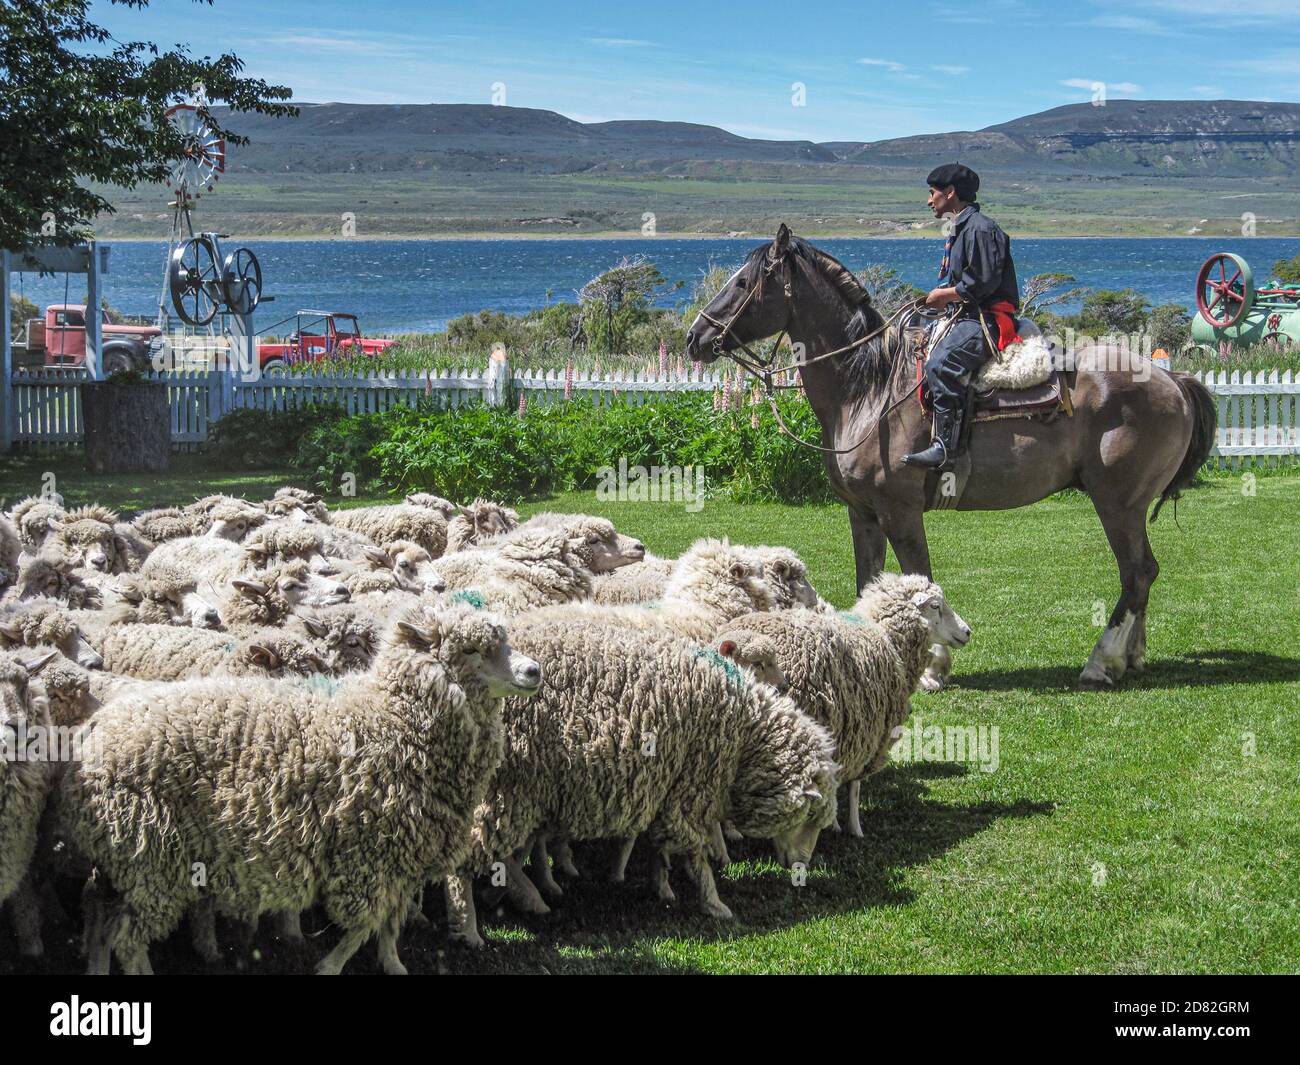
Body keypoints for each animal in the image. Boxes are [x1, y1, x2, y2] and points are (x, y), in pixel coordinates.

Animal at [60, 601, 542, 975]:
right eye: (472, 650)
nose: (533, 671)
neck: (394, 723)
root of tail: (94, 730)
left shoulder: (401, 857)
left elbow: (389, 922)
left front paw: (392, 963)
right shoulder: (368, 854)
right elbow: (364, 924)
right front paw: (329, 965)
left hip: (122, 861)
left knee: (99, 918)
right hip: (150, 858)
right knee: (128, 937)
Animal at [445, 615, 837, 946]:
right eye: (808, 817)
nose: (801, 867)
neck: (745, 733)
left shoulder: (668, 784)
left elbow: (661, 847)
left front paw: (661, 887)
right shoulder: (692, 787)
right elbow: (696, 855)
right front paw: (715, 904)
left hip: (522, 790)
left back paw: (519, 896)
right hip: (508, 790)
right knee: (464, 859)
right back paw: (470, 928)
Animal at [712, 572, 970, 839]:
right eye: (935, 606)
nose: (967, 632)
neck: (886, 637)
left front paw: (835, 822)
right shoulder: (866, 732)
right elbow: (854, 786)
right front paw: (854, 827)